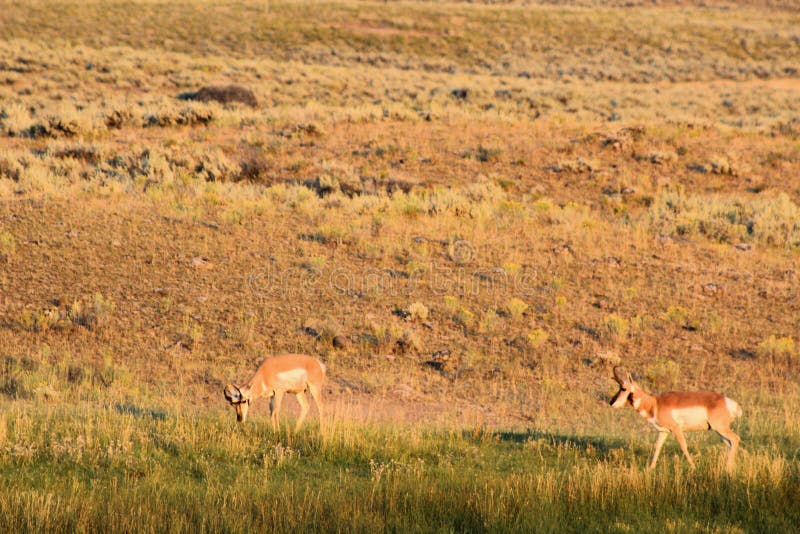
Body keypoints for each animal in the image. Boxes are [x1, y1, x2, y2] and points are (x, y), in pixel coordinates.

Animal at [610, 367, 742, 470]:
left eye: (623, 388)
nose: (611, 403)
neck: (655, 403)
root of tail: (727, 401)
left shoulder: (676, 429)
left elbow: (683, 446)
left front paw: (693, 467)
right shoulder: (663, 431)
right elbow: (657, 446)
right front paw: (651, 468)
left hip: (720, 428)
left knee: (735, 439)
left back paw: (728, 468)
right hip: (718, 431)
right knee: (730, 443)